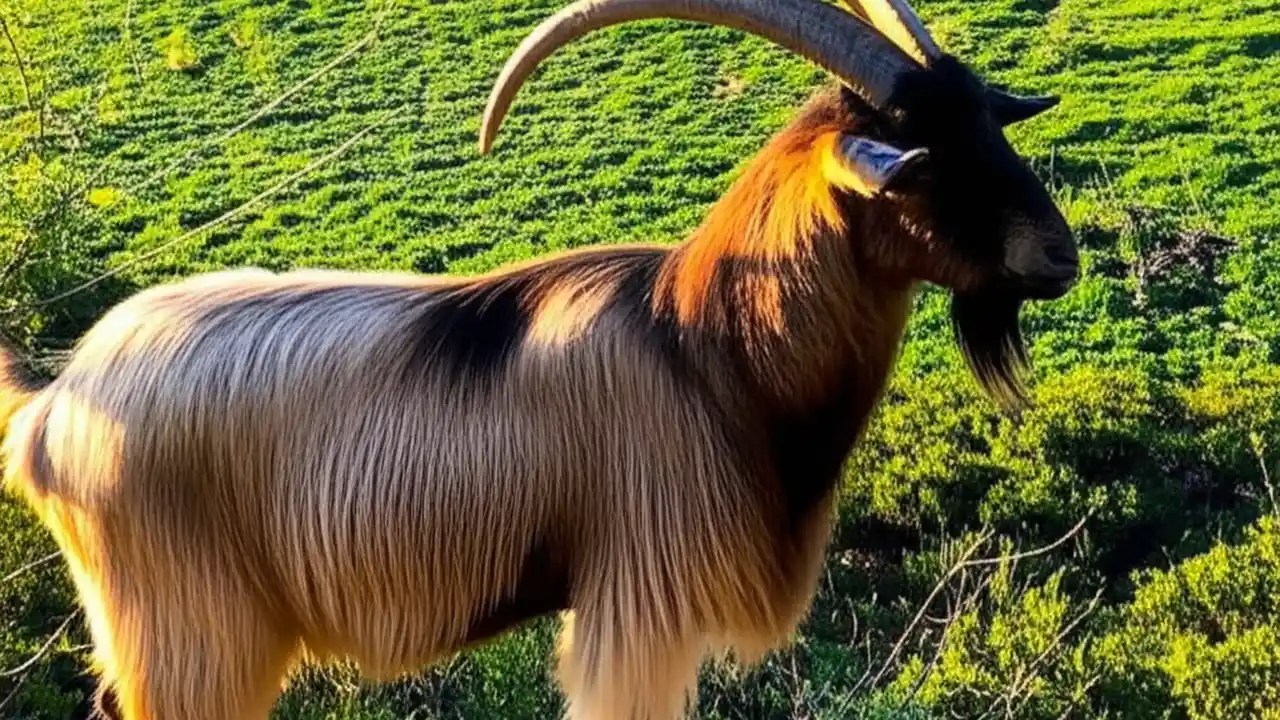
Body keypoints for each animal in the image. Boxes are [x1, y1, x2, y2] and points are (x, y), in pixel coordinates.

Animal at [1, 0, 1079, 717]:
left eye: (987, 121)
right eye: (921, 162)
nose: (1059, 256)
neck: (708, 349)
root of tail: (53, 407)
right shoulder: (637, 613)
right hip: (190, 639)